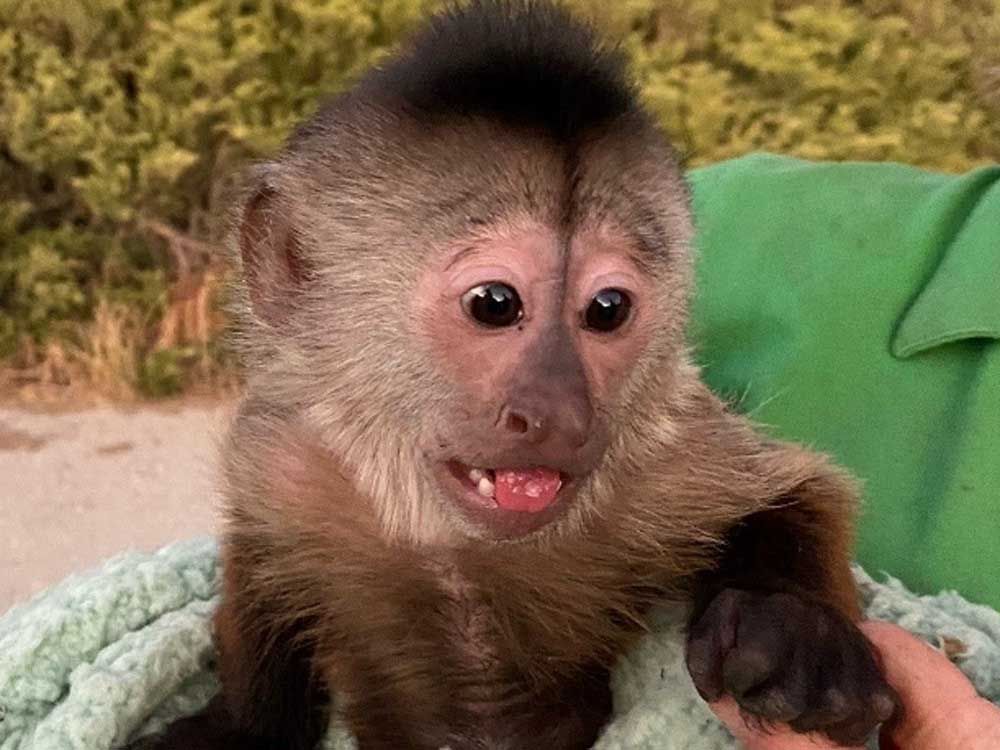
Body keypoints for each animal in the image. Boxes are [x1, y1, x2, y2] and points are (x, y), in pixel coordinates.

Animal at [129, 2, 899, 749]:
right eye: (494, 304)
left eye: (608, 309)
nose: (560, 412)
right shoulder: (287, 457)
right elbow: (260, 557)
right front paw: (236, 724)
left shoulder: (667, 454)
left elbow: (798, 489)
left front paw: (790, 622)